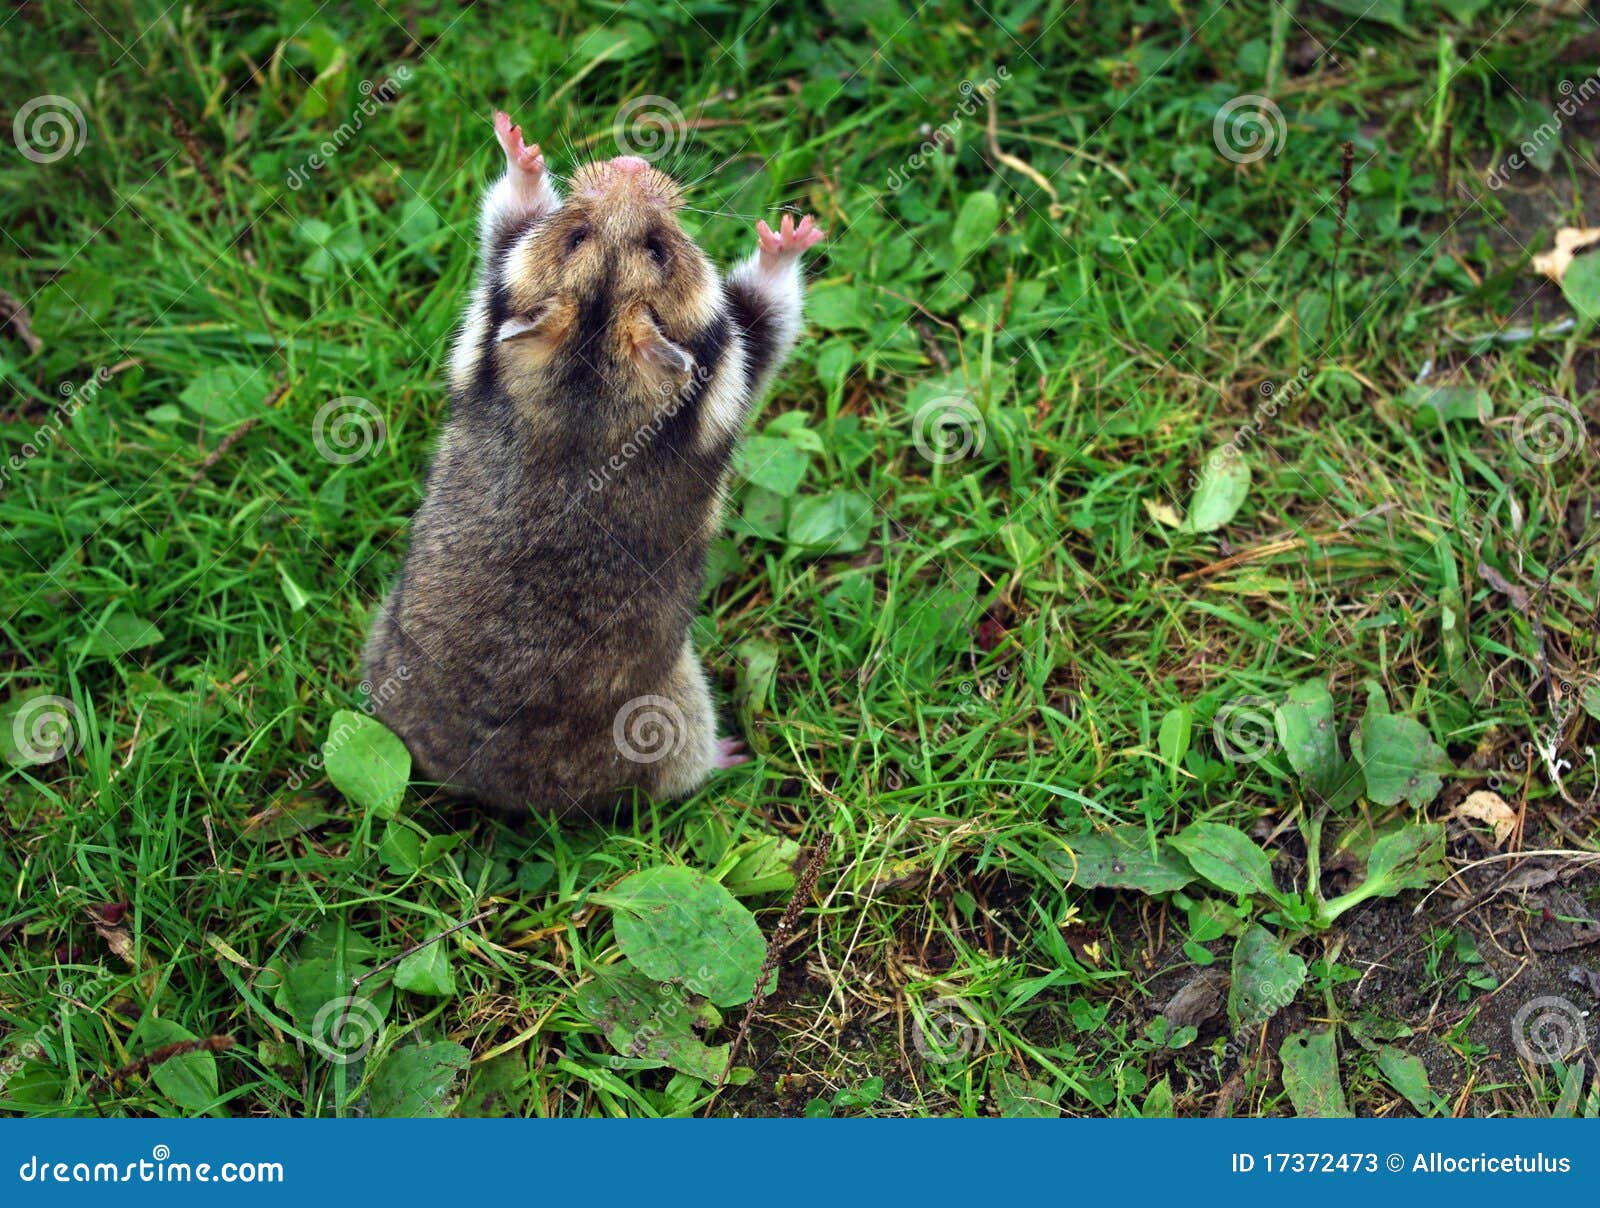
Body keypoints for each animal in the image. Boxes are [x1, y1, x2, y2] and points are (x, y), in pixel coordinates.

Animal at [361, 111, 824, 818]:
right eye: (578, 233)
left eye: (656, 249)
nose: (632, 161)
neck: (591, 351)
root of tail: (503, 794)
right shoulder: (738, 364)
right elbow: (769, 309)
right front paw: (791, 236)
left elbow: (508, 221)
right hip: (679, 707)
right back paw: (730, 755)